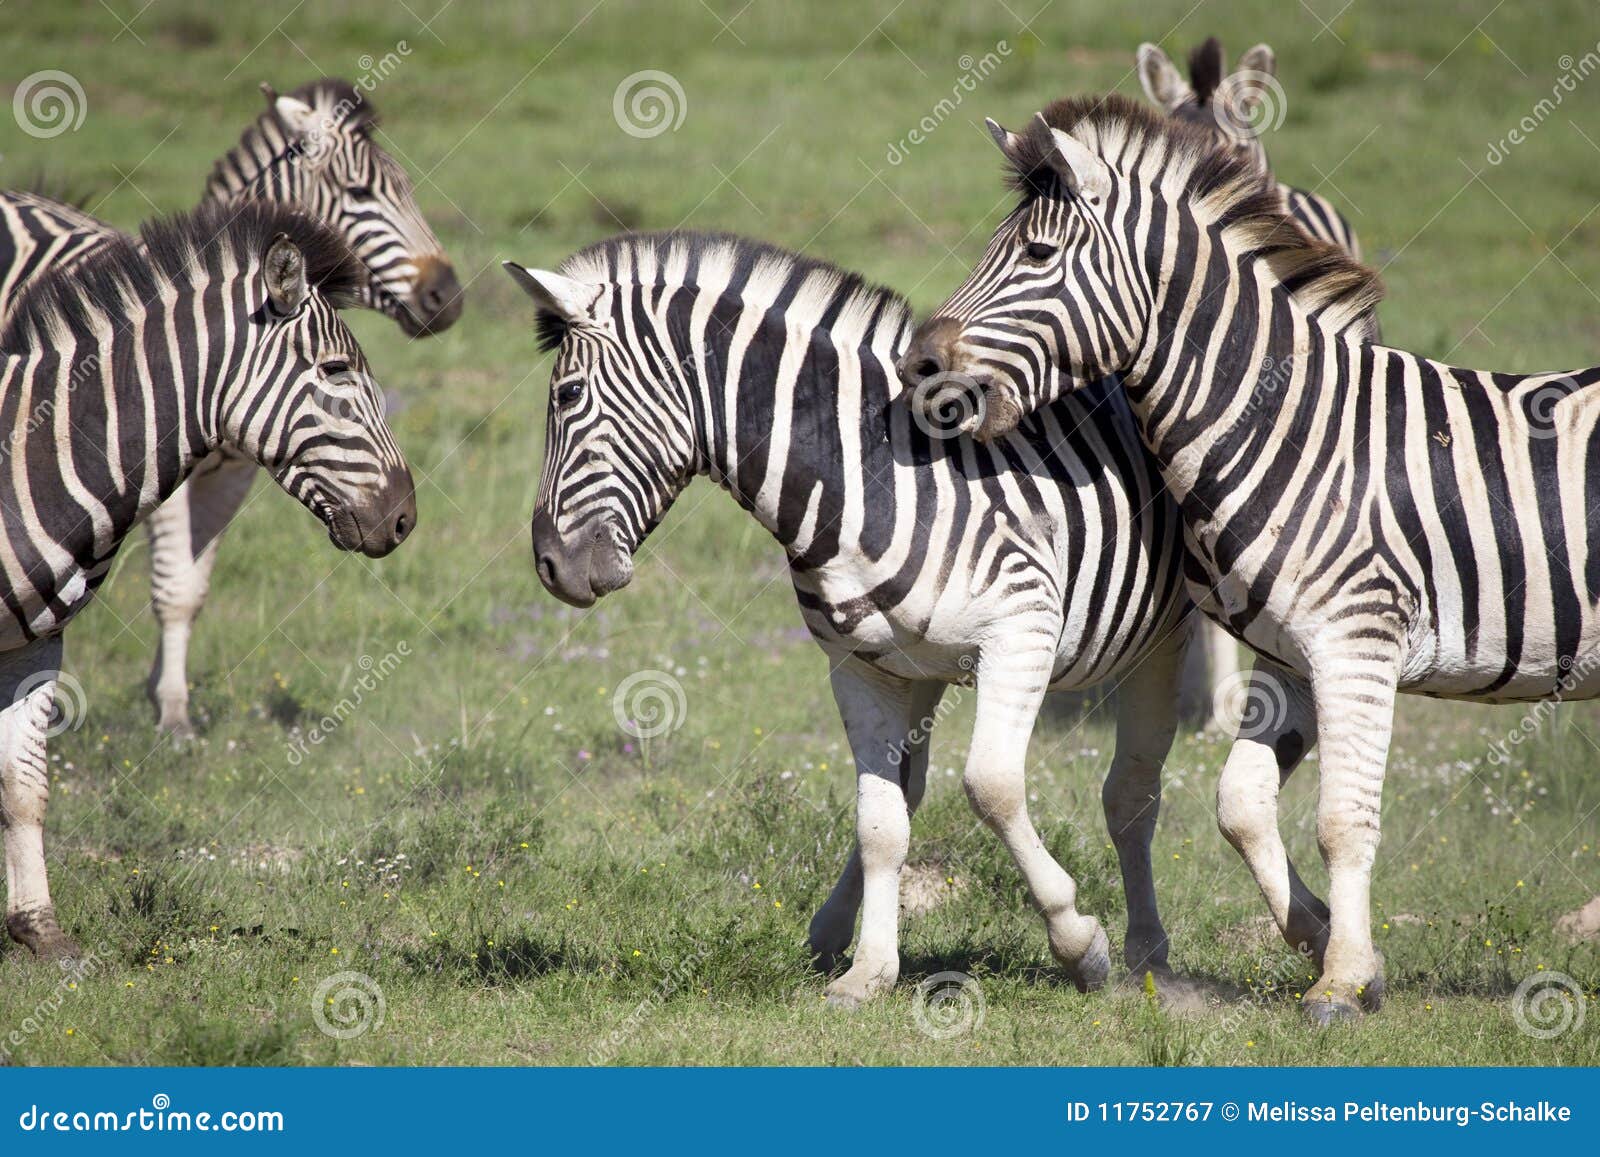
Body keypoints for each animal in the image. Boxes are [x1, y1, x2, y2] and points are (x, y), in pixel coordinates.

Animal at [0, 77, 460, 738]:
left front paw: (167, 696)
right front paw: (171, 716)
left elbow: (190, 589)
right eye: (360, 193)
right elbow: (169, 588)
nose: (449, 298)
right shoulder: (160, 476)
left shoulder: (232, 477)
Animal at [1, 200, 415, 959]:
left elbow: (23, 783)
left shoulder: (33, 639)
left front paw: (40, 930)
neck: (34, 455)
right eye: (336, 369)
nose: (405, 517)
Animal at [503, 231, 1199, 1005]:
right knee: (920, 790)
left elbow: (990, 787)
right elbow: (880, 821)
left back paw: (1148, 950)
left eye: (567, 395)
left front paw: (1078, 942)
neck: (878, 476)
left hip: (1163, 636)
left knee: (1133, 792)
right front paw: (869, 970)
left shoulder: (1021, 630)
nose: (550, 565)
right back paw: (837, 928)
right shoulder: (862, 666)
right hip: (923, 664)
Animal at [896, 92, 1600, 1024]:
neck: (1293, 427)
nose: (919, 366)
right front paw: (1333, 943)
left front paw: (1339, 981)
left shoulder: (1358, 643)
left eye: (1039, 255)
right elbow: (1241, 805)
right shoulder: (1290, 650)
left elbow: (1342, 818)